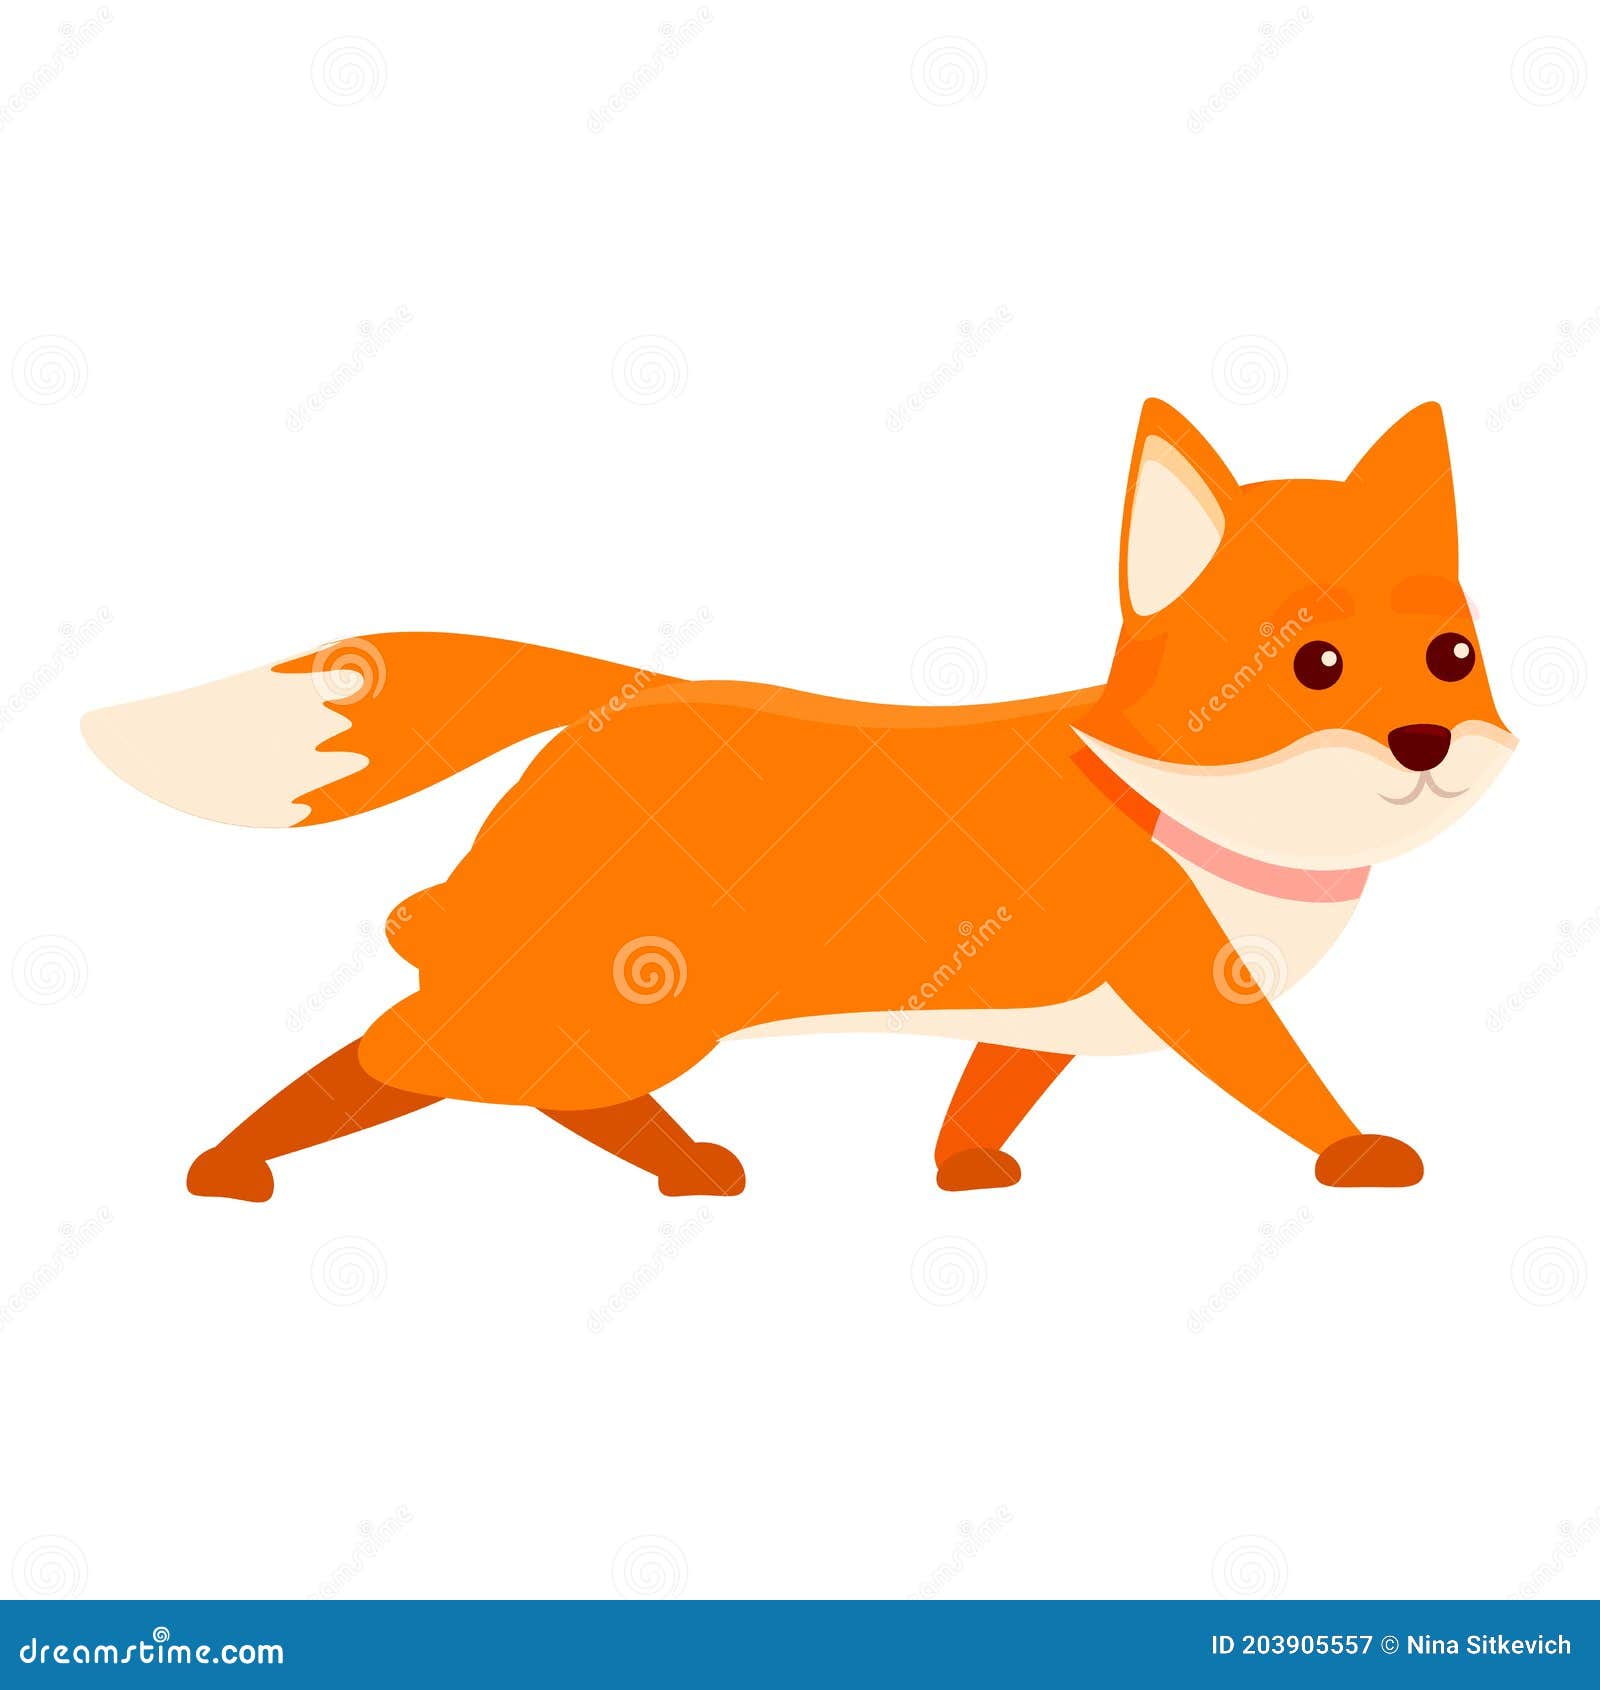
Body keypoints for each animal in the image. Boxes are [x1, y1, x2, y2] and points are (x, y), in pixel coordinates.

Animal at [82, 398, 1514, 1203]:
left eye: (1451, 655)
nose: (1423, 739)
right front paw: (1354, 1152)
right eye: (1311, 668)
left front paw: (963, 1171)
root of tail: (626, 691)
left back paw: (677, 1168)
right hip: (615, 994)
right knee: (402, 1054)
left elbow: (988, 1092)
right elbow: (1291, 1084)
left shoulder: (1049, 1011)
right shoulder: (1190, 981)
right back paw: (239, 1166)